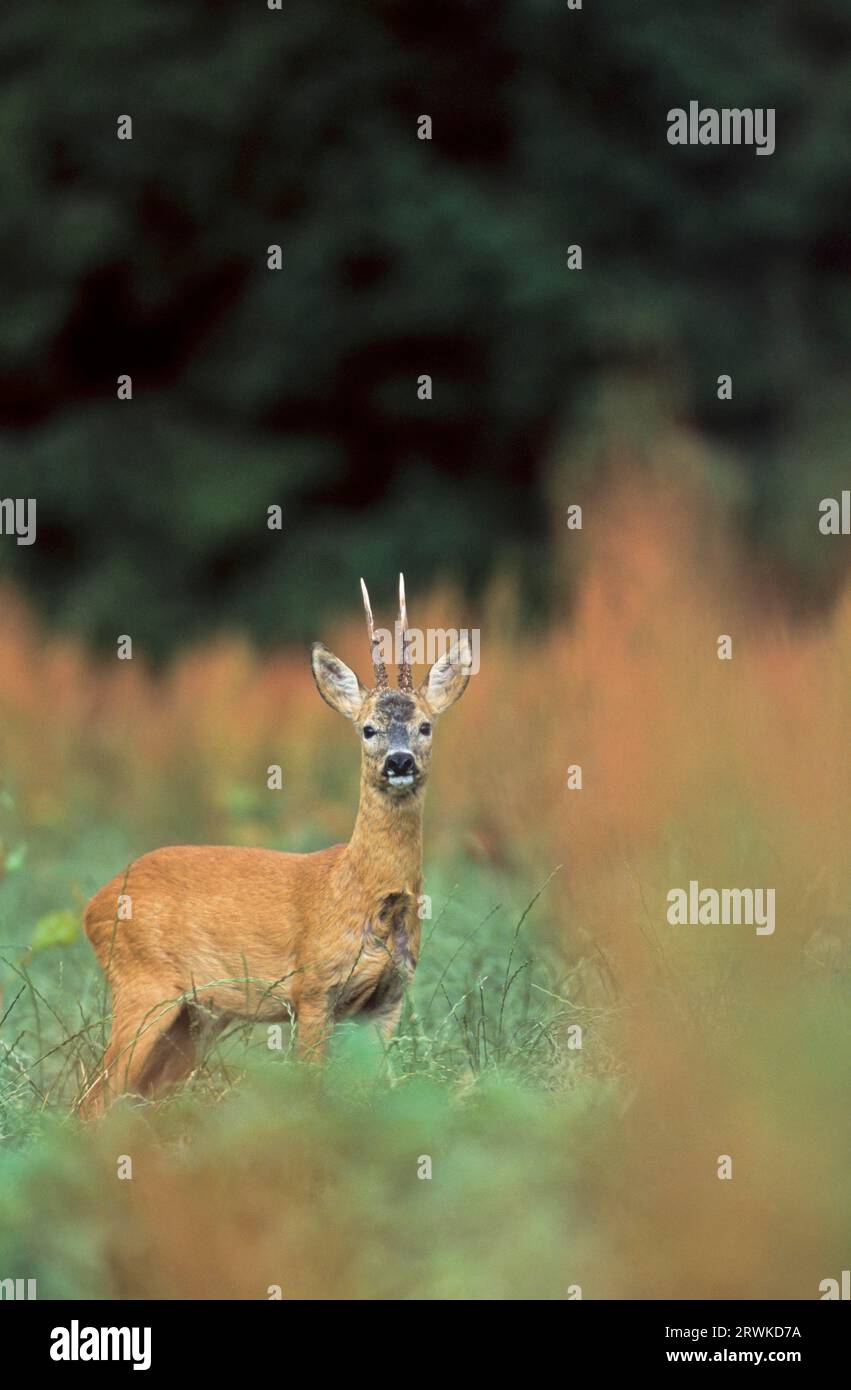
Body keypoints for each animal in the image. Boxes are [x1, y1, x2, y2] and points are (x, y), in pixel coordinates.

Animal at [78, 576, 471, 1115]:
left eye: (425, 726)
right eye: (367, 728)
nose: (399, 761)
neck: (360, 891)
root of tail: (92, 907)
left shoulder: (388, 1000)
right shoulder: (313, 988)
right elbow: (311, 1088)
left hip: (194, 1016)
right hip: (143, 984)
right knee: (92, 1099)